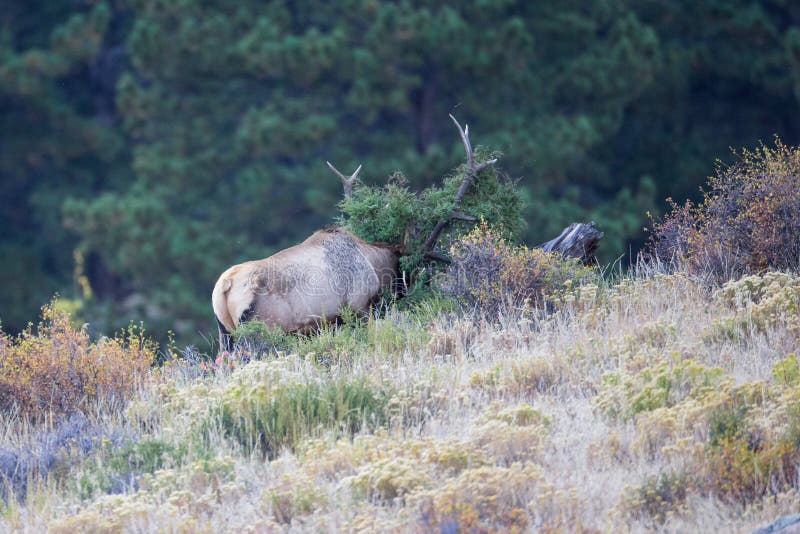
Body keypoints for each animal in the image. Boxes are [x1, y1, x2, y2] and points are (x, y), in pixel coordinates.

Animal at [211, 115, 496, 352]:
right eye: (416, 264)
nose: (422, 288)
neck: (374, 264)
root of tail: (225, 286)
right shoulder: (358, 309)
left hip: (226, 335)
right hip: (261, 330)